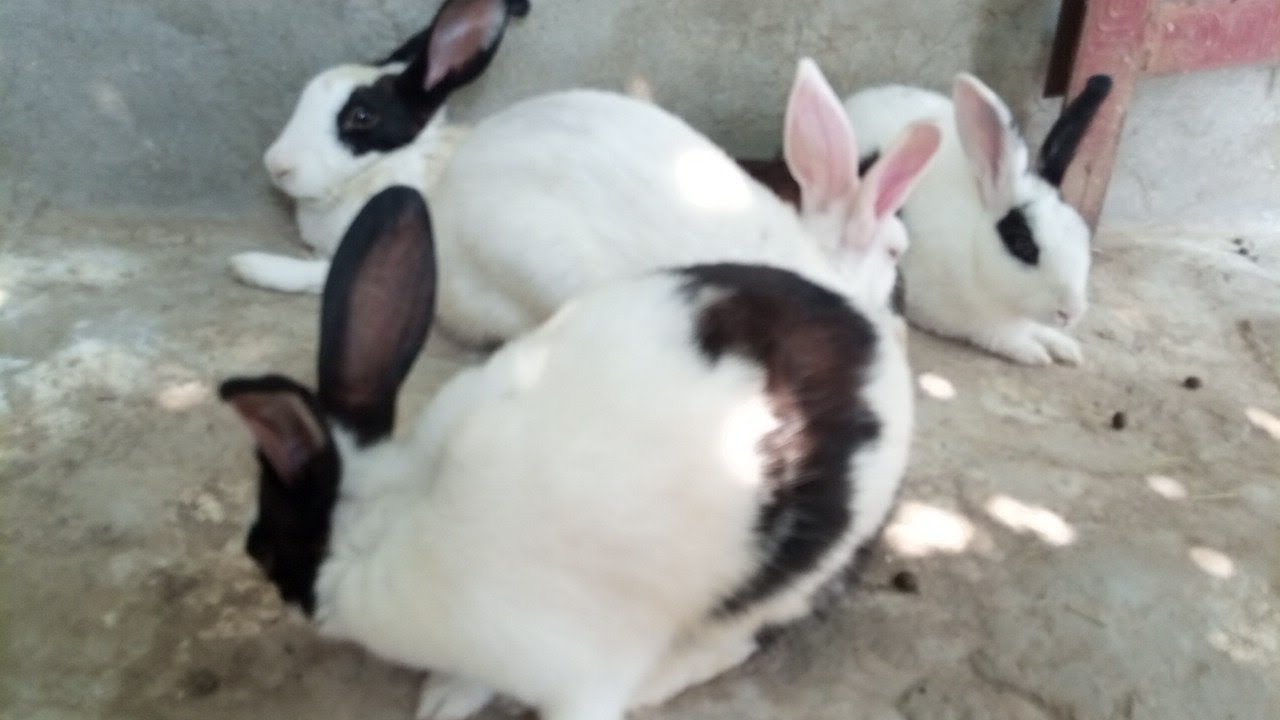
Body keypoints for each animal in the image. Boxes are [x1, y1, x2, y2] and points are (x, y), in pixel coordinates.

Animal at [220, 185, 914, 720]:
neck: (393, 520)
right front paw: (447, 697)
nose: (253, 555)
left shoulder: (573, 675)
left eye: (271, 543)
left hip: (786, 574)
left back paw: (658, 680)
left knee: (741, 640)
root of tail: (878, 353)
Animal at [842, 73, 1113, 365]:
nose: (1071, 312)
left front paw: (1066, 347)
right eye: (1024, 246)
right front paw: (1032, 352)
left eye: (1083, 235)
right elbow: (991, 334)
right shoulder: (947, 313)